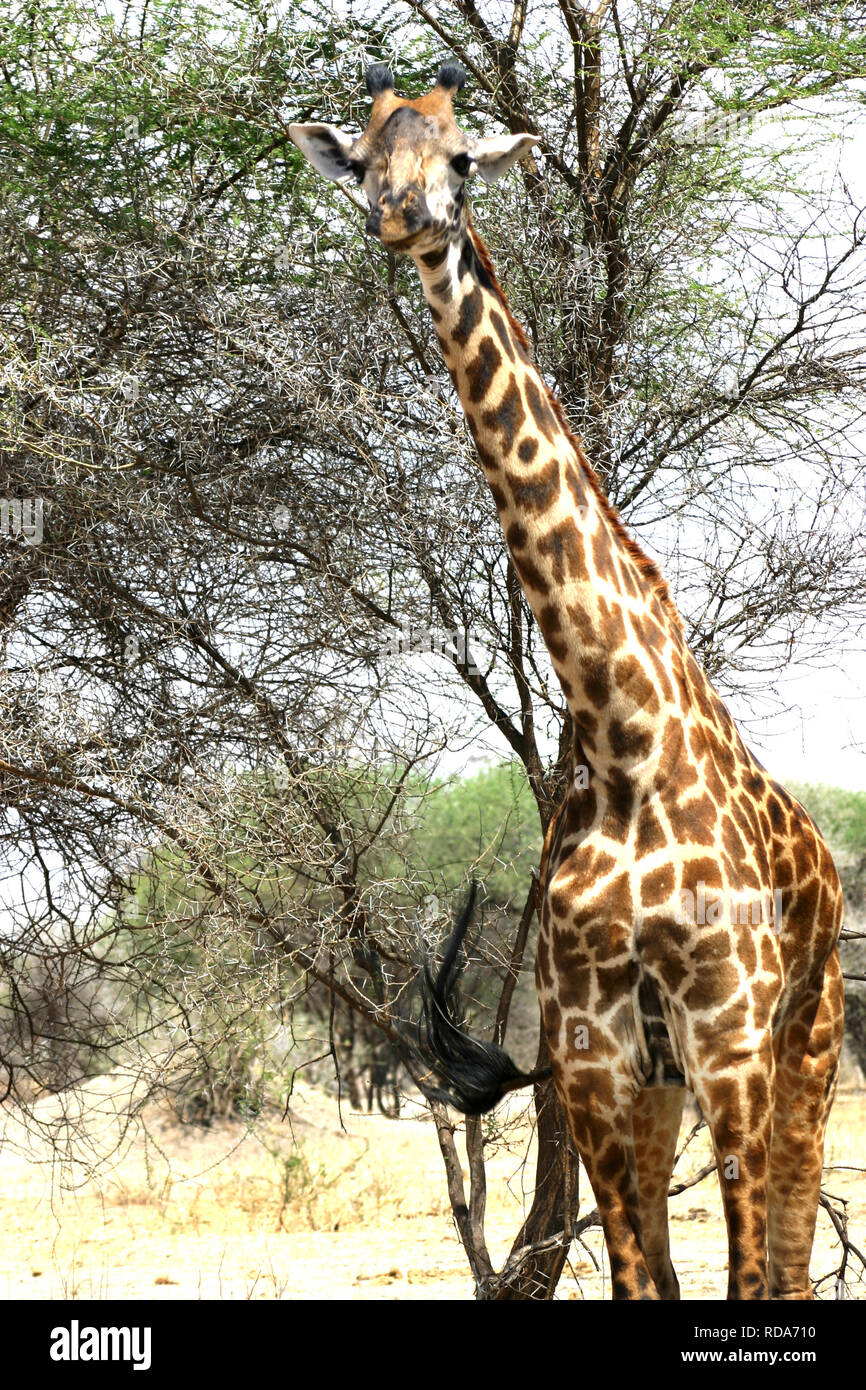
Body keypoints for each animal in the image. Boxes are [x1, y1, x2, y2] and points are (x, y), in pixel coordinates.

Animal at [290, 63, 845, 1301]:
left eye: (458, 159)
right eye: (367, 154)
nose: (401, 215)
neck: (618, 727)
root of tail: (830, 869)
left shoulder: (727, 1039)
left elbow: (744, 1277)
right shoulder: (594, 1057)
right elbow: (643, 1279)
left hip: (805, 1049)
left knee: (786, 1260)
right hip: (663, 1087)